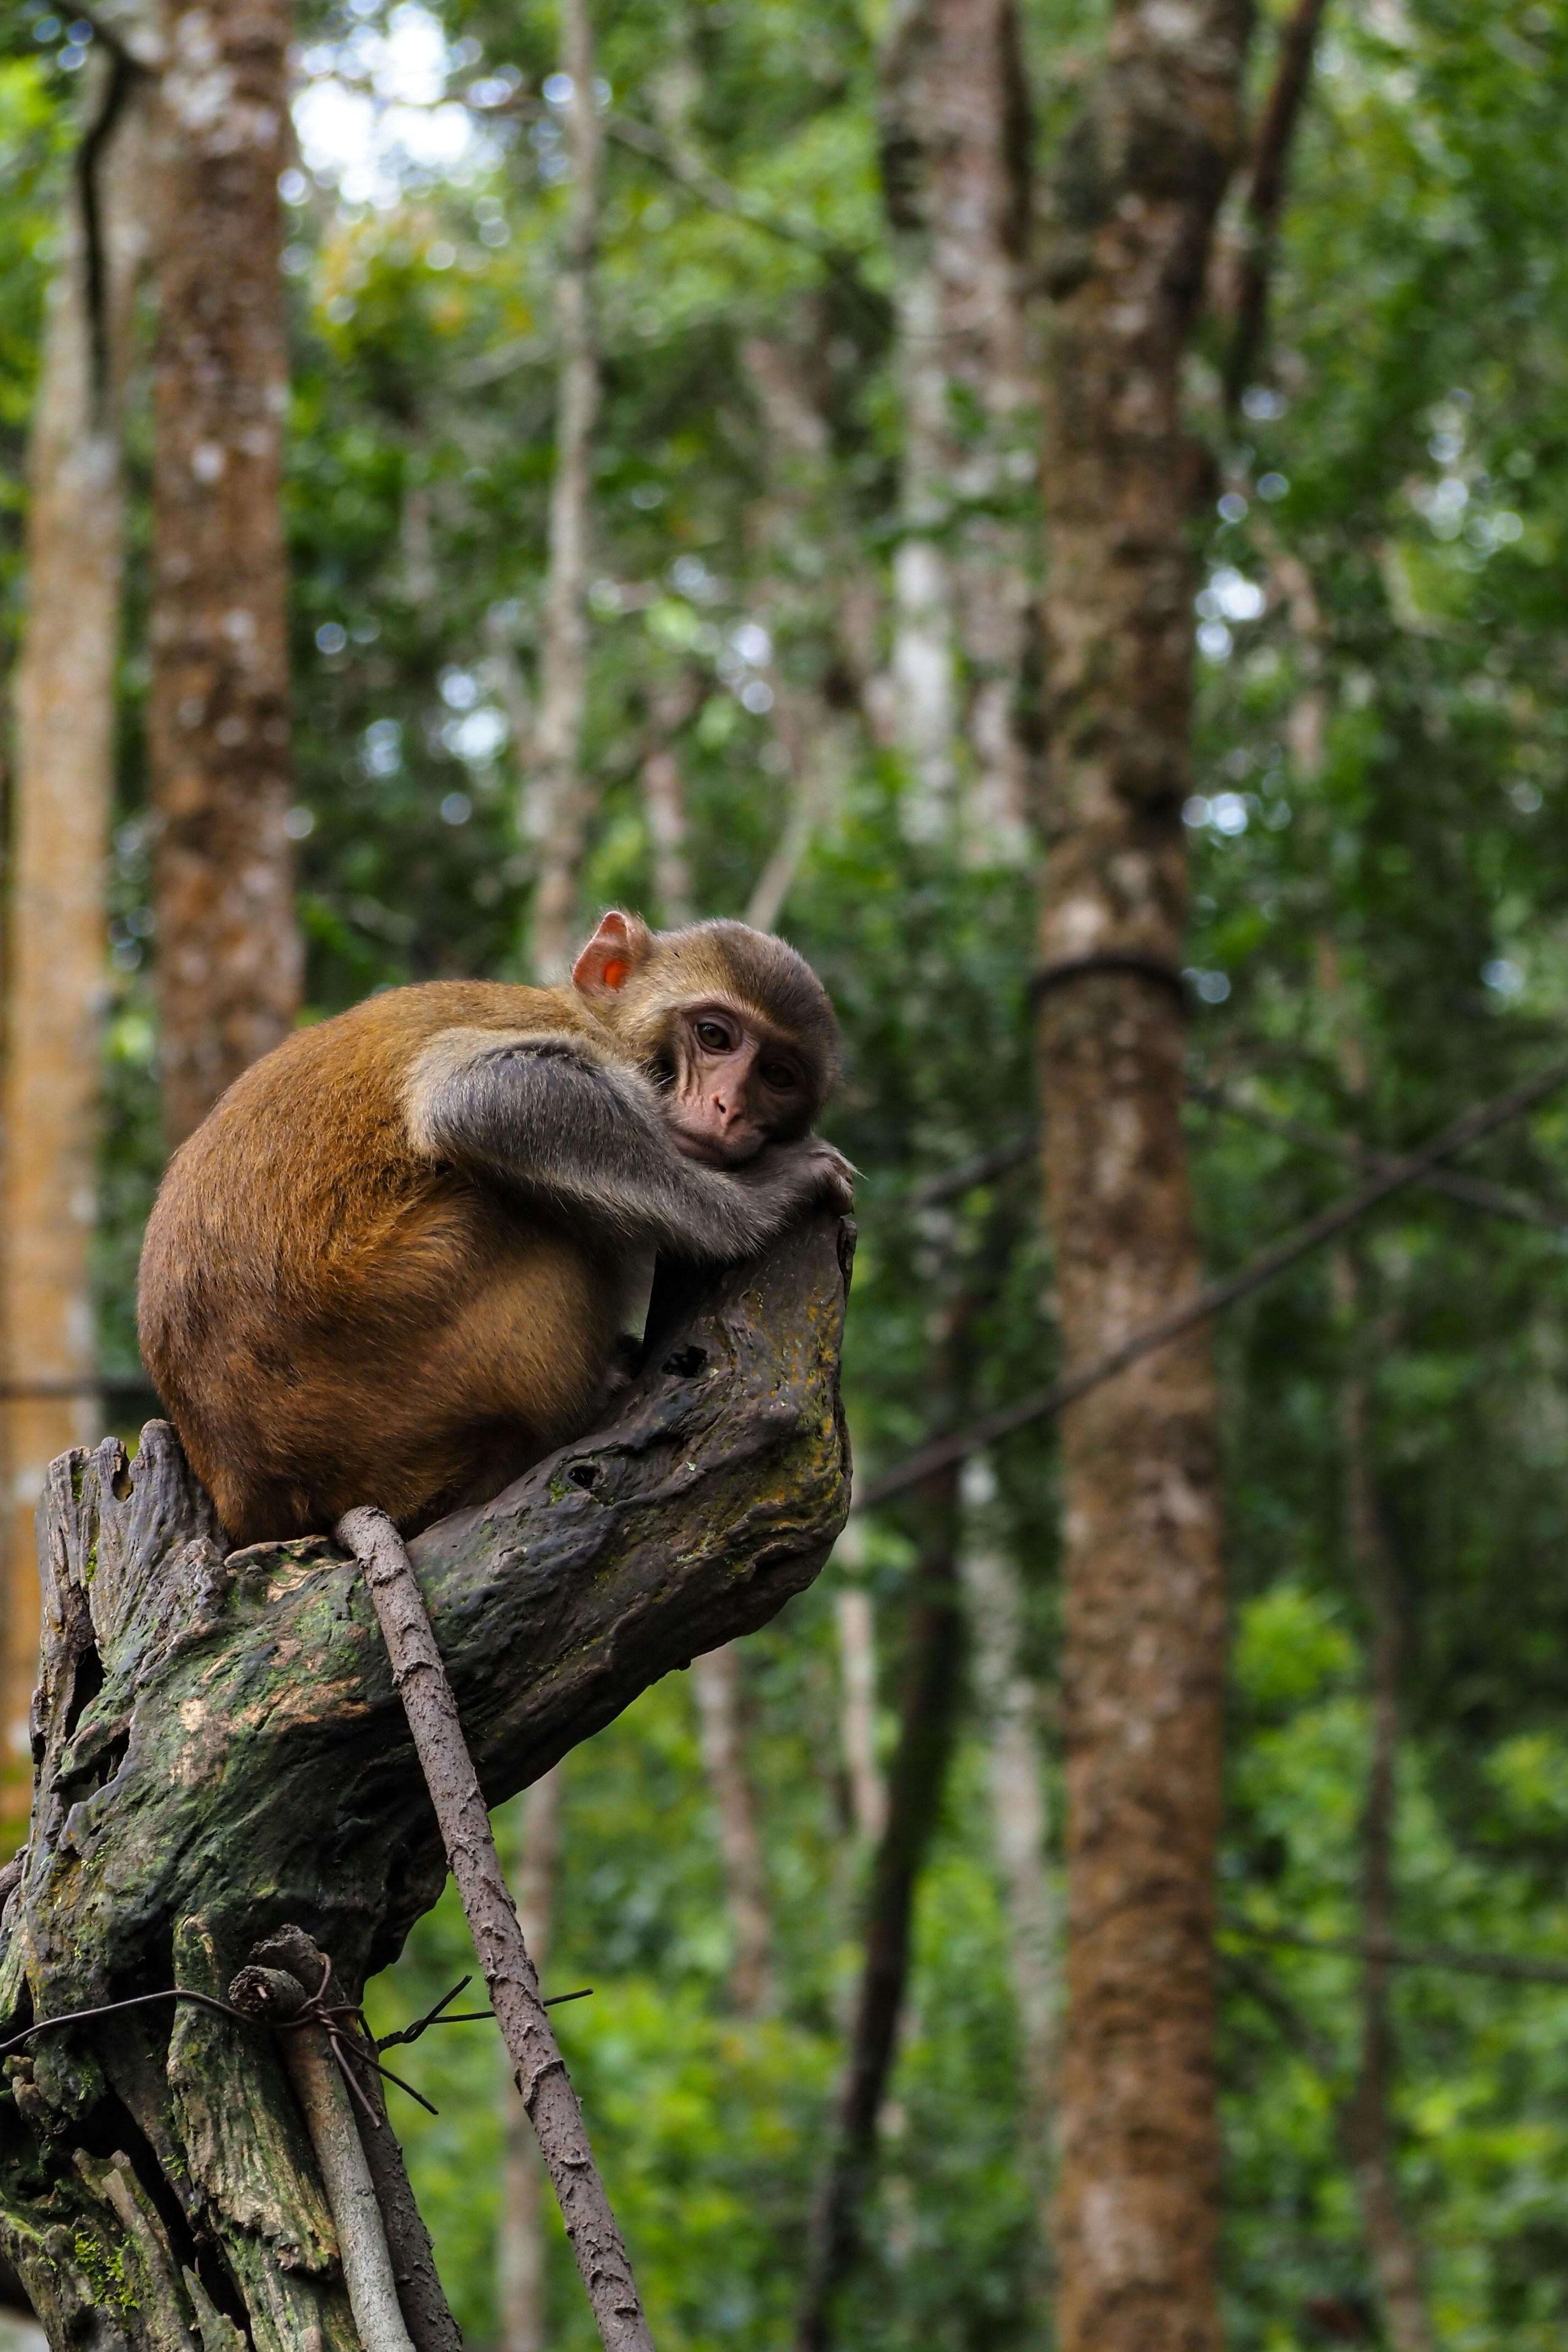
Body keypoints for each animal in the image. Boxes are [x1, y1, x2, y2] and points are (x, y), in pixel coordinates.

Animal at [137, 910, 853, 1549]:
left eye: (778, 1075)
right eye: (714, 1035)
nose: (728, 1107)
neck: (599, 1020)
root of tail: (247, 1495)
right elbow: (476, 1097)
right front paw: (757, 1202)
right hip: (381, 1354)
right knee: (523, 1210)